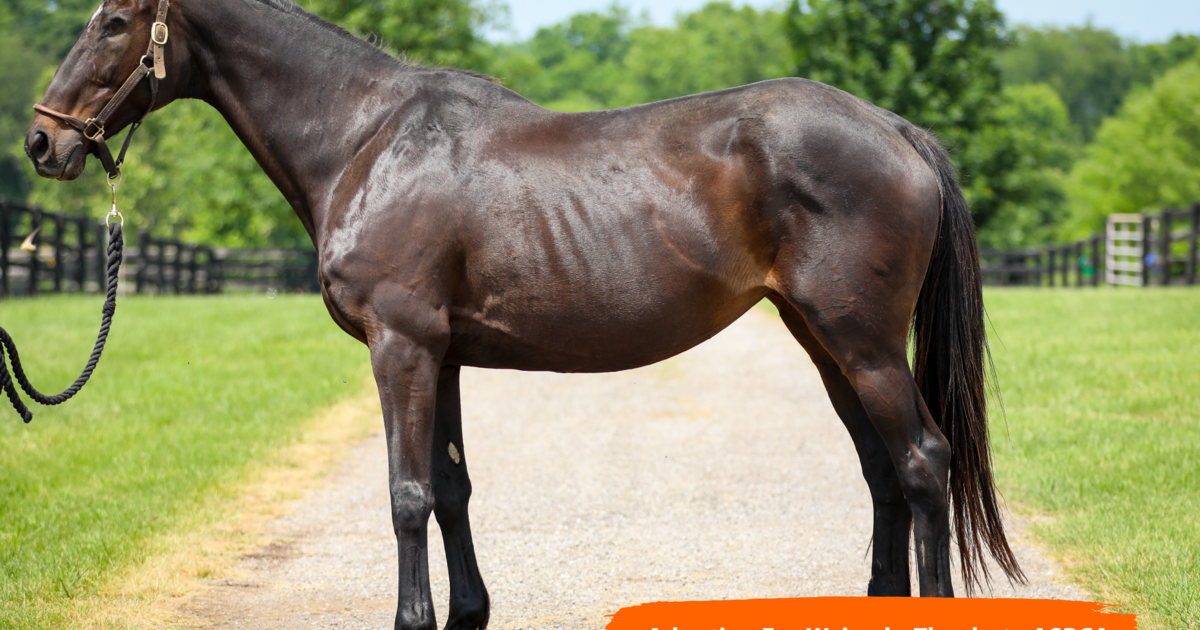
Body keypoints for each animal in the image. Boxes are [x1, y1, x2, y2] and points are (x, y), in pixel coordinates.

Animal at [25, 0, 1024, 627]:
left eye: (113, 21)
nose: (41, 140)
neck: (367, 139)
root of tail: (896, 130)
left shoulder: (399, 347)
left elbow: (407, 494)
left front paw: (412, 618)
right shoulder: (442, 355)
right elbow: (453, 488)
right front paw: (467, 613)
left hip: (863, 344)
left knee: (923, 463)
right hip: (825, 341)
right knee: (884, 472)